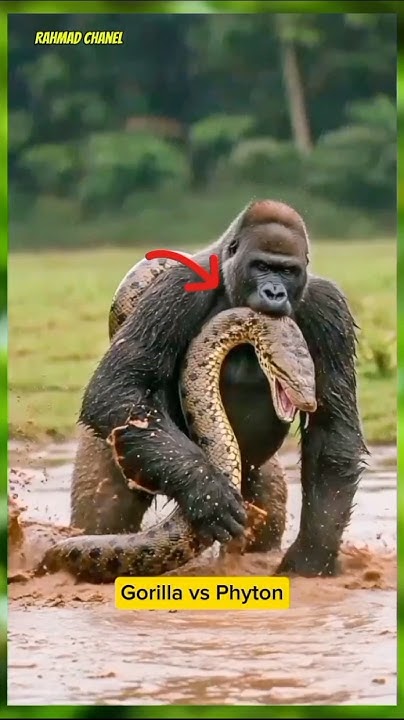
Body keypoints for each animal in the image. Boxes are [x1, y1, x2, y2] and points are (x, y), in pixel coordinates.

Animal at [77, 199, 368, 577]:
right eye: (262, 266)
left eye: (287, 271)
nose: (274, 292)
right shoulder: (176, 288)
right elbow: (115, 387)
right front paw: (206, 491)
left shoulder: (330, 309)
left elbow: (332, 432)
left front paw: (311, 561)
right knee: (104, 507)